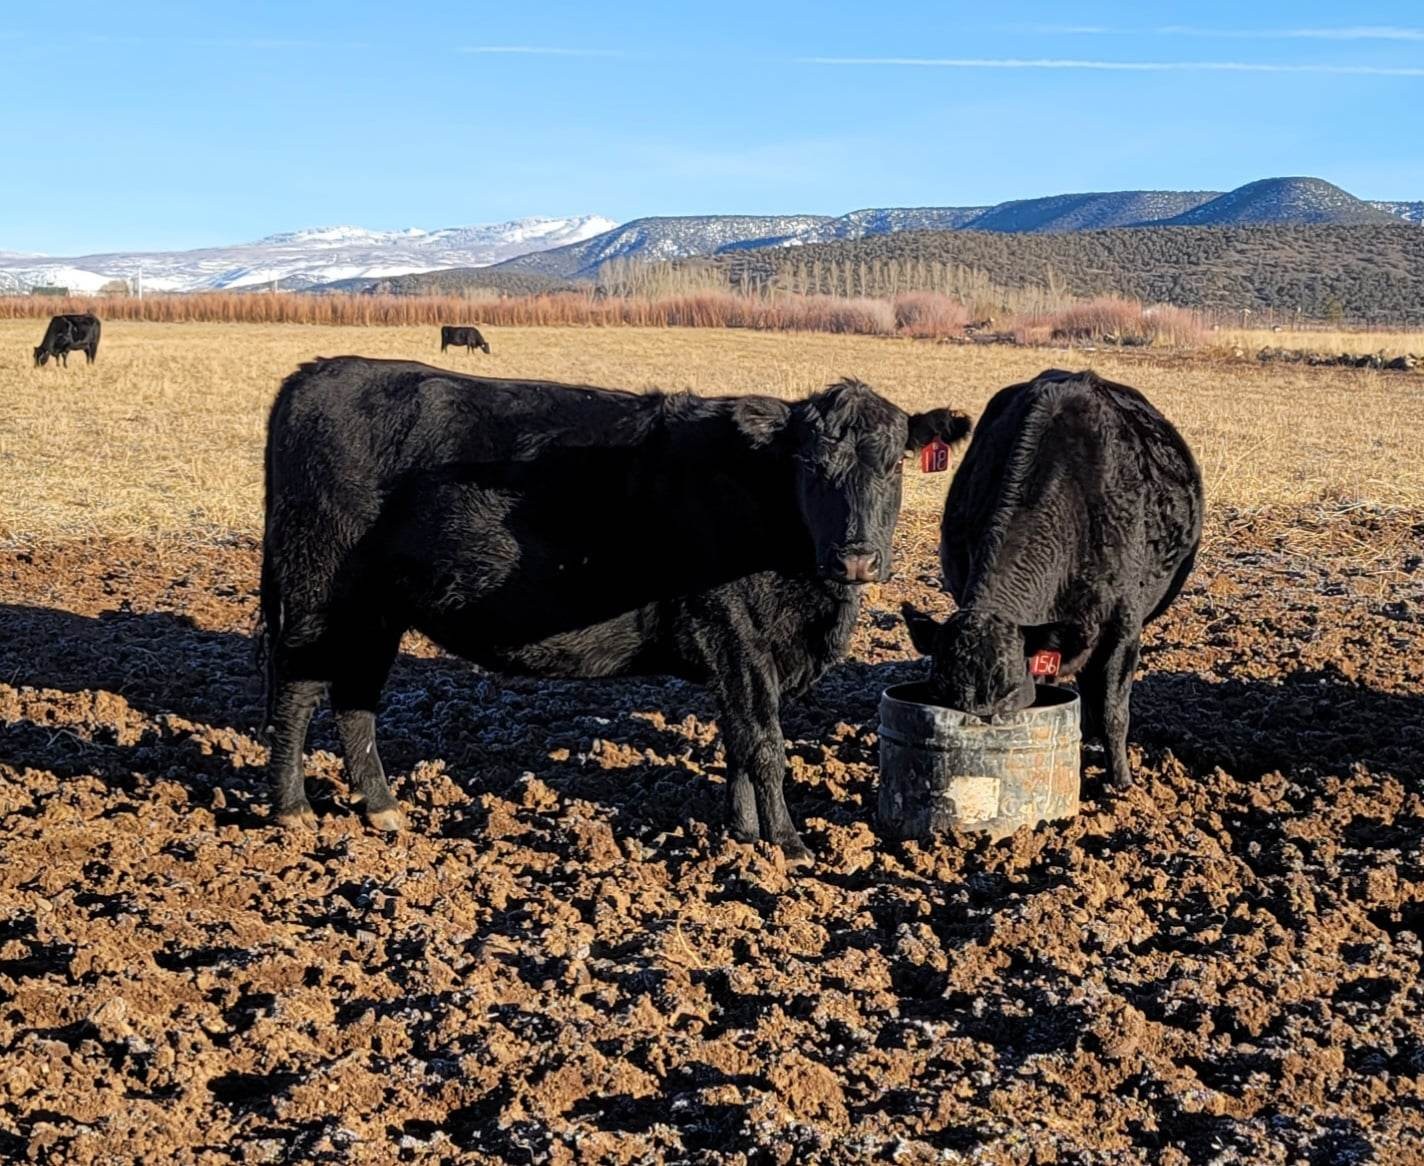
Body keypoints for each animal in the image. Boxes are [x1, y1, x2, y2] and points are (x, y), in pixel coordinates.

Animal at [259, 357, 970, 862]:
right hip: (318, 595)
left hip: (375, 612)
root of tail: (317, 371)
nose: (857, 559)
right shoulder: (734, 632)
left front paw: (742, 836)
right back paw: (293, 810)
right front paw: (789, 846)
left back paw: (383, 809)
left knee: (356, 699)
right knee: (296, 693)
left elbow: (738, 741)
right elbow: (764, 744)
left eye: (893, 464)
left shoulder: (745, 655)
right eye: (811, 465)